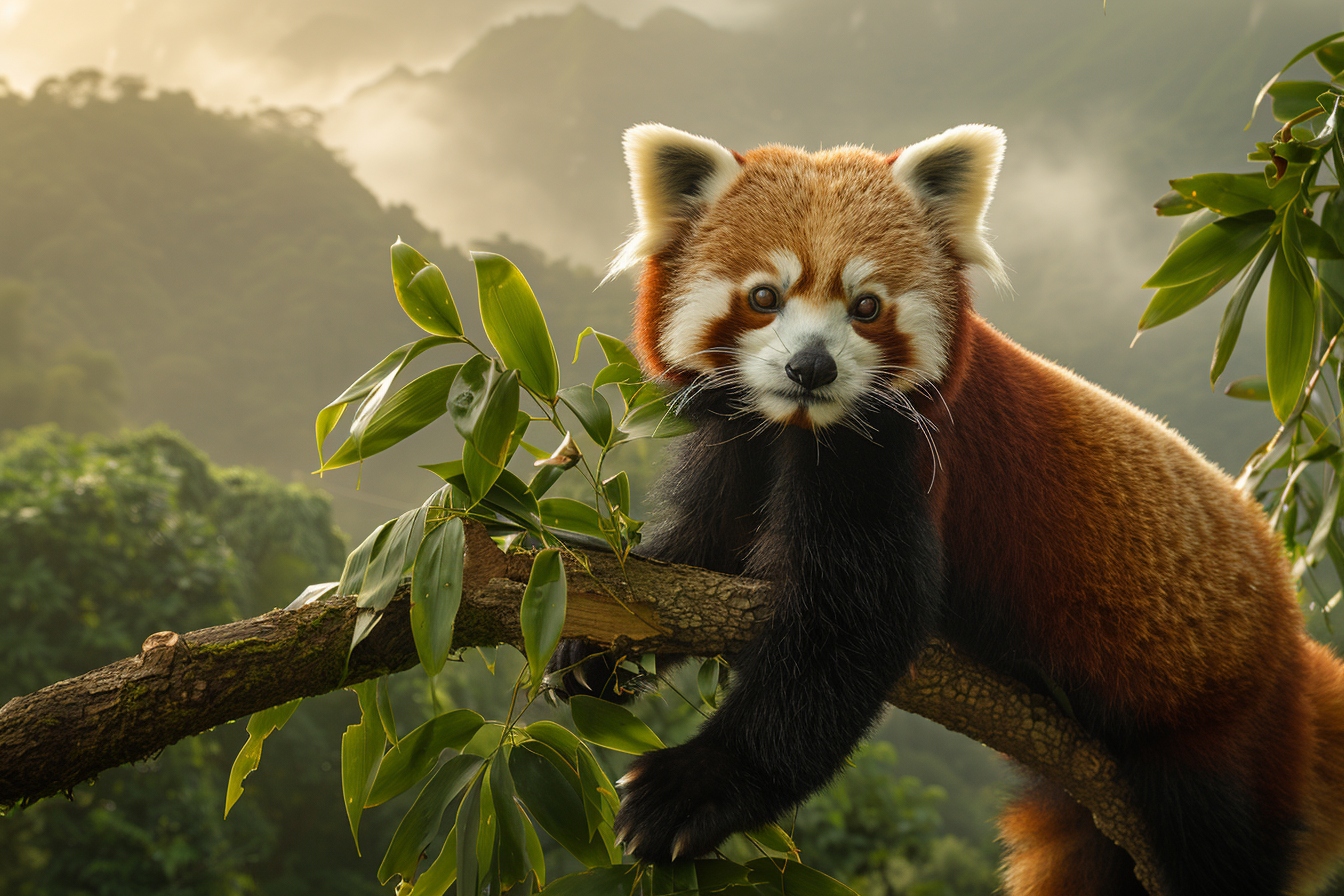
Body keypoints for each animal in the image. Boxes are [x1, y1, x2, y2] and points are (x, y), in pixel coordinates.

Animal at [547, 123, 1344, 895]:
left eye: (866, 306)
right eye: (764, 297)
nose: (812, 368)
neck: (796, 428)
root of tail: (1291, 634)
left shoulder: (900, 454)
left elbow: (856, 626)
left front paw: (696, 786)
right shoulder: (740, 441)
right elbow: (701, 559)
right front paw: (594, 641)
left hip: (1230, 728)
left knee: (1218, 836)